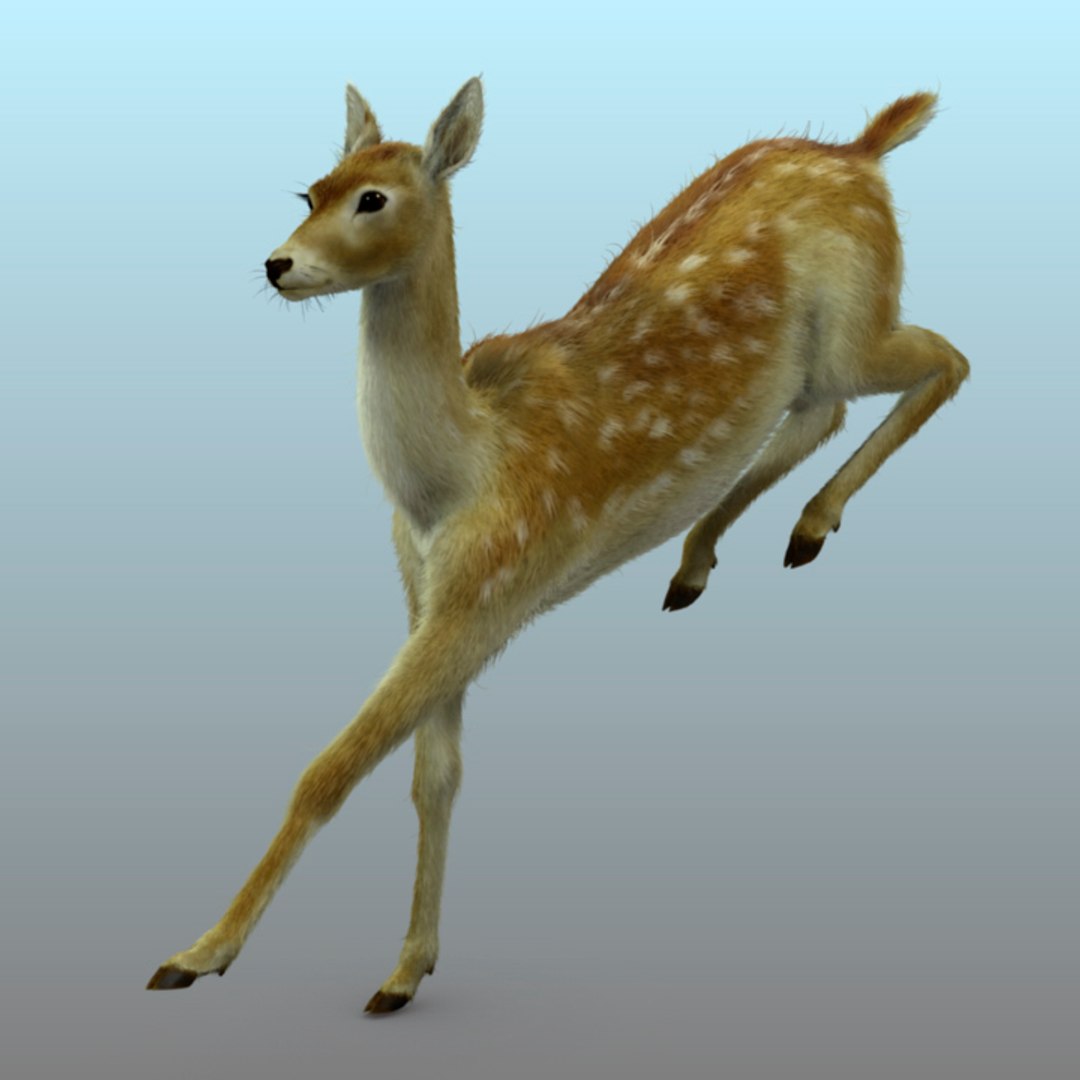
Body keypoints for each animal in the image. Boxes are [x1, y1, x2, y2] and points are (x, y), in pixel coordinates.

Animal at [146, 78, 970, 1012]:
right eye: (308, 191)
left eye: (373, 198)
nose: (277, 264)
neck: (453, 476)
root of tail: (860, 151)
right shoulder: (427, 588)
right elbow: (434, 777)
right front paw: (406, 972)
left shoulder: (490, 589)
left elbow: (335, 767)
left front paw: (197, 956)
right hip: (815, 360)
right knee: (820, 413)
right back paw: (698, 562)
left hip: (859, 320)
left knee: (945, 358)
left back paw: (809, 527)